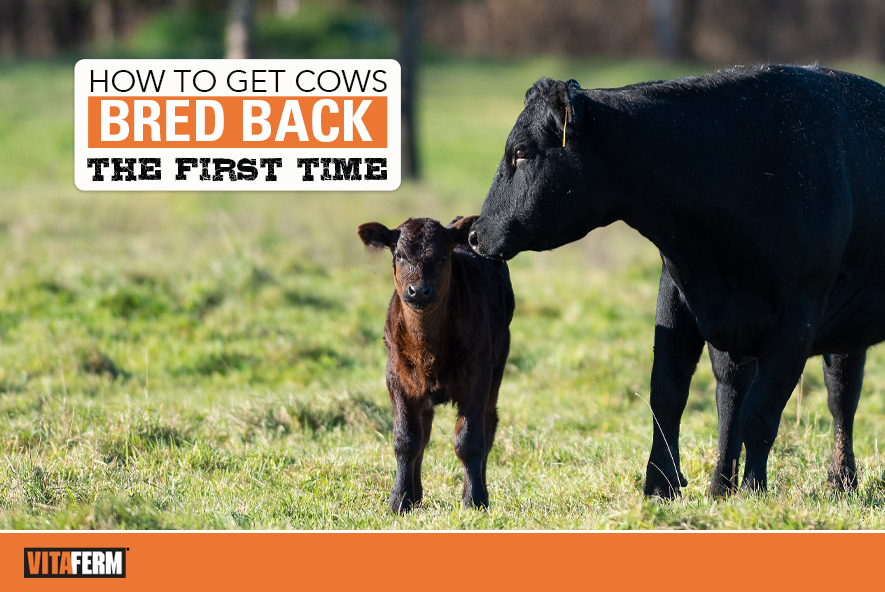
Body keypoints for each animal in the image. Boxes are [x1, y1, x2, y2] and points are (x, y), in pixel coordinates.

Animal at [358, 216, 515, 512]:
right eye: (399, 255)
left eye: (443, 257)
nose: (419, 291)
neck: (428, 347)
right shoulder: (396, 376)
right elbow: (406, 440)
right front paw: (400, 501)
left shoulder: (478, 374)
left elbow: (469, 440)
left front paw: (473, 500)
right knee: (423, 434)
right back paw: (416, 496)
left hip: (497, 367)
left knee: (488, 427)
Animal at [468, 65, 885, 497]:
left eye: (521, 152)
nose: (476, 234)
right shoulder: (678, 290)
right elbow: (671, 396)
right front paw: (664, 484)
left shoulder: (799, 313)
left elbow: (760, 412)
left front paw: (752, 491)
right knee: (809, 391)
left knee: (837, 397)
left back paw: (838, 481)